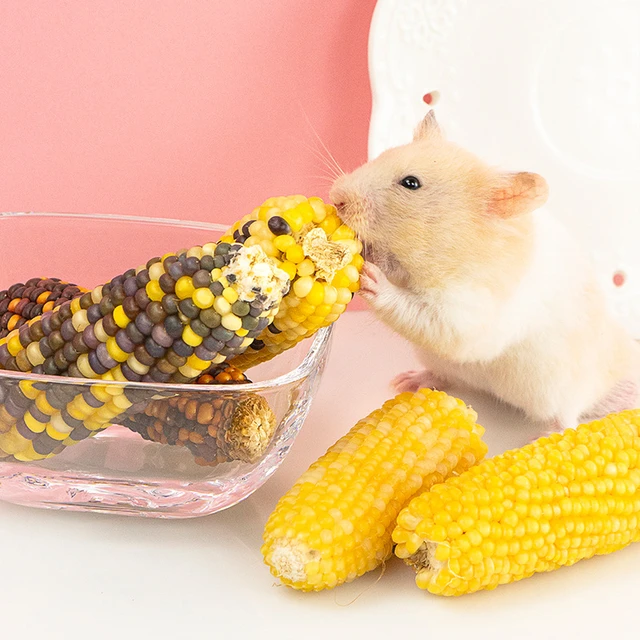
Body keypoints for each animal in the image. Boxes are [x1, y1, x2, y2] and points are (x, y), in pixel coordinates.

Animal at [330, 110, 640, 434]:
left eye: (411, 183)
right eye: (382, 156)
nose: (335, 197)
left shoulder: (467, 316)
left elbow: (422, 313)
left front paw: (370, 275)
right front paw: (364, 253)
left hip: (563, 390)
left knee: (567, 418)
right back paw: (407, 381)